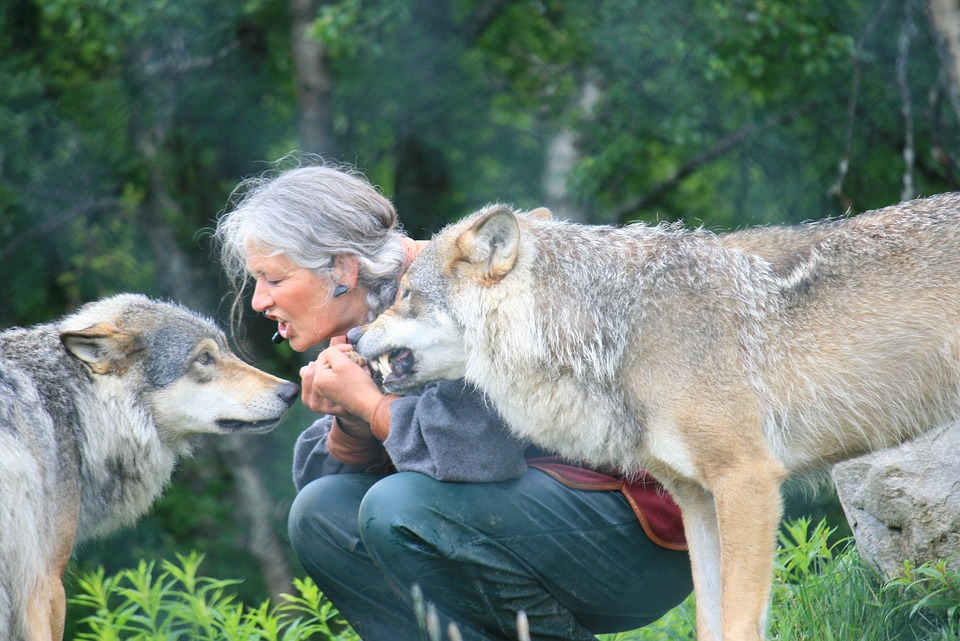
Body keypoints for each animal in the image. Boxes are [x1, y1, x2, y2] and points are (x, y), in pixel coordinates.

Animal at [353, 193, 960, 641]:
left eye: (404, 294)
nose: (354, 335)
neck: (613, 334)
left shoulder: (748, 483)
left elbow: (739, 625)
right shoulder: (697, 500)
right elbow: (710, 625)